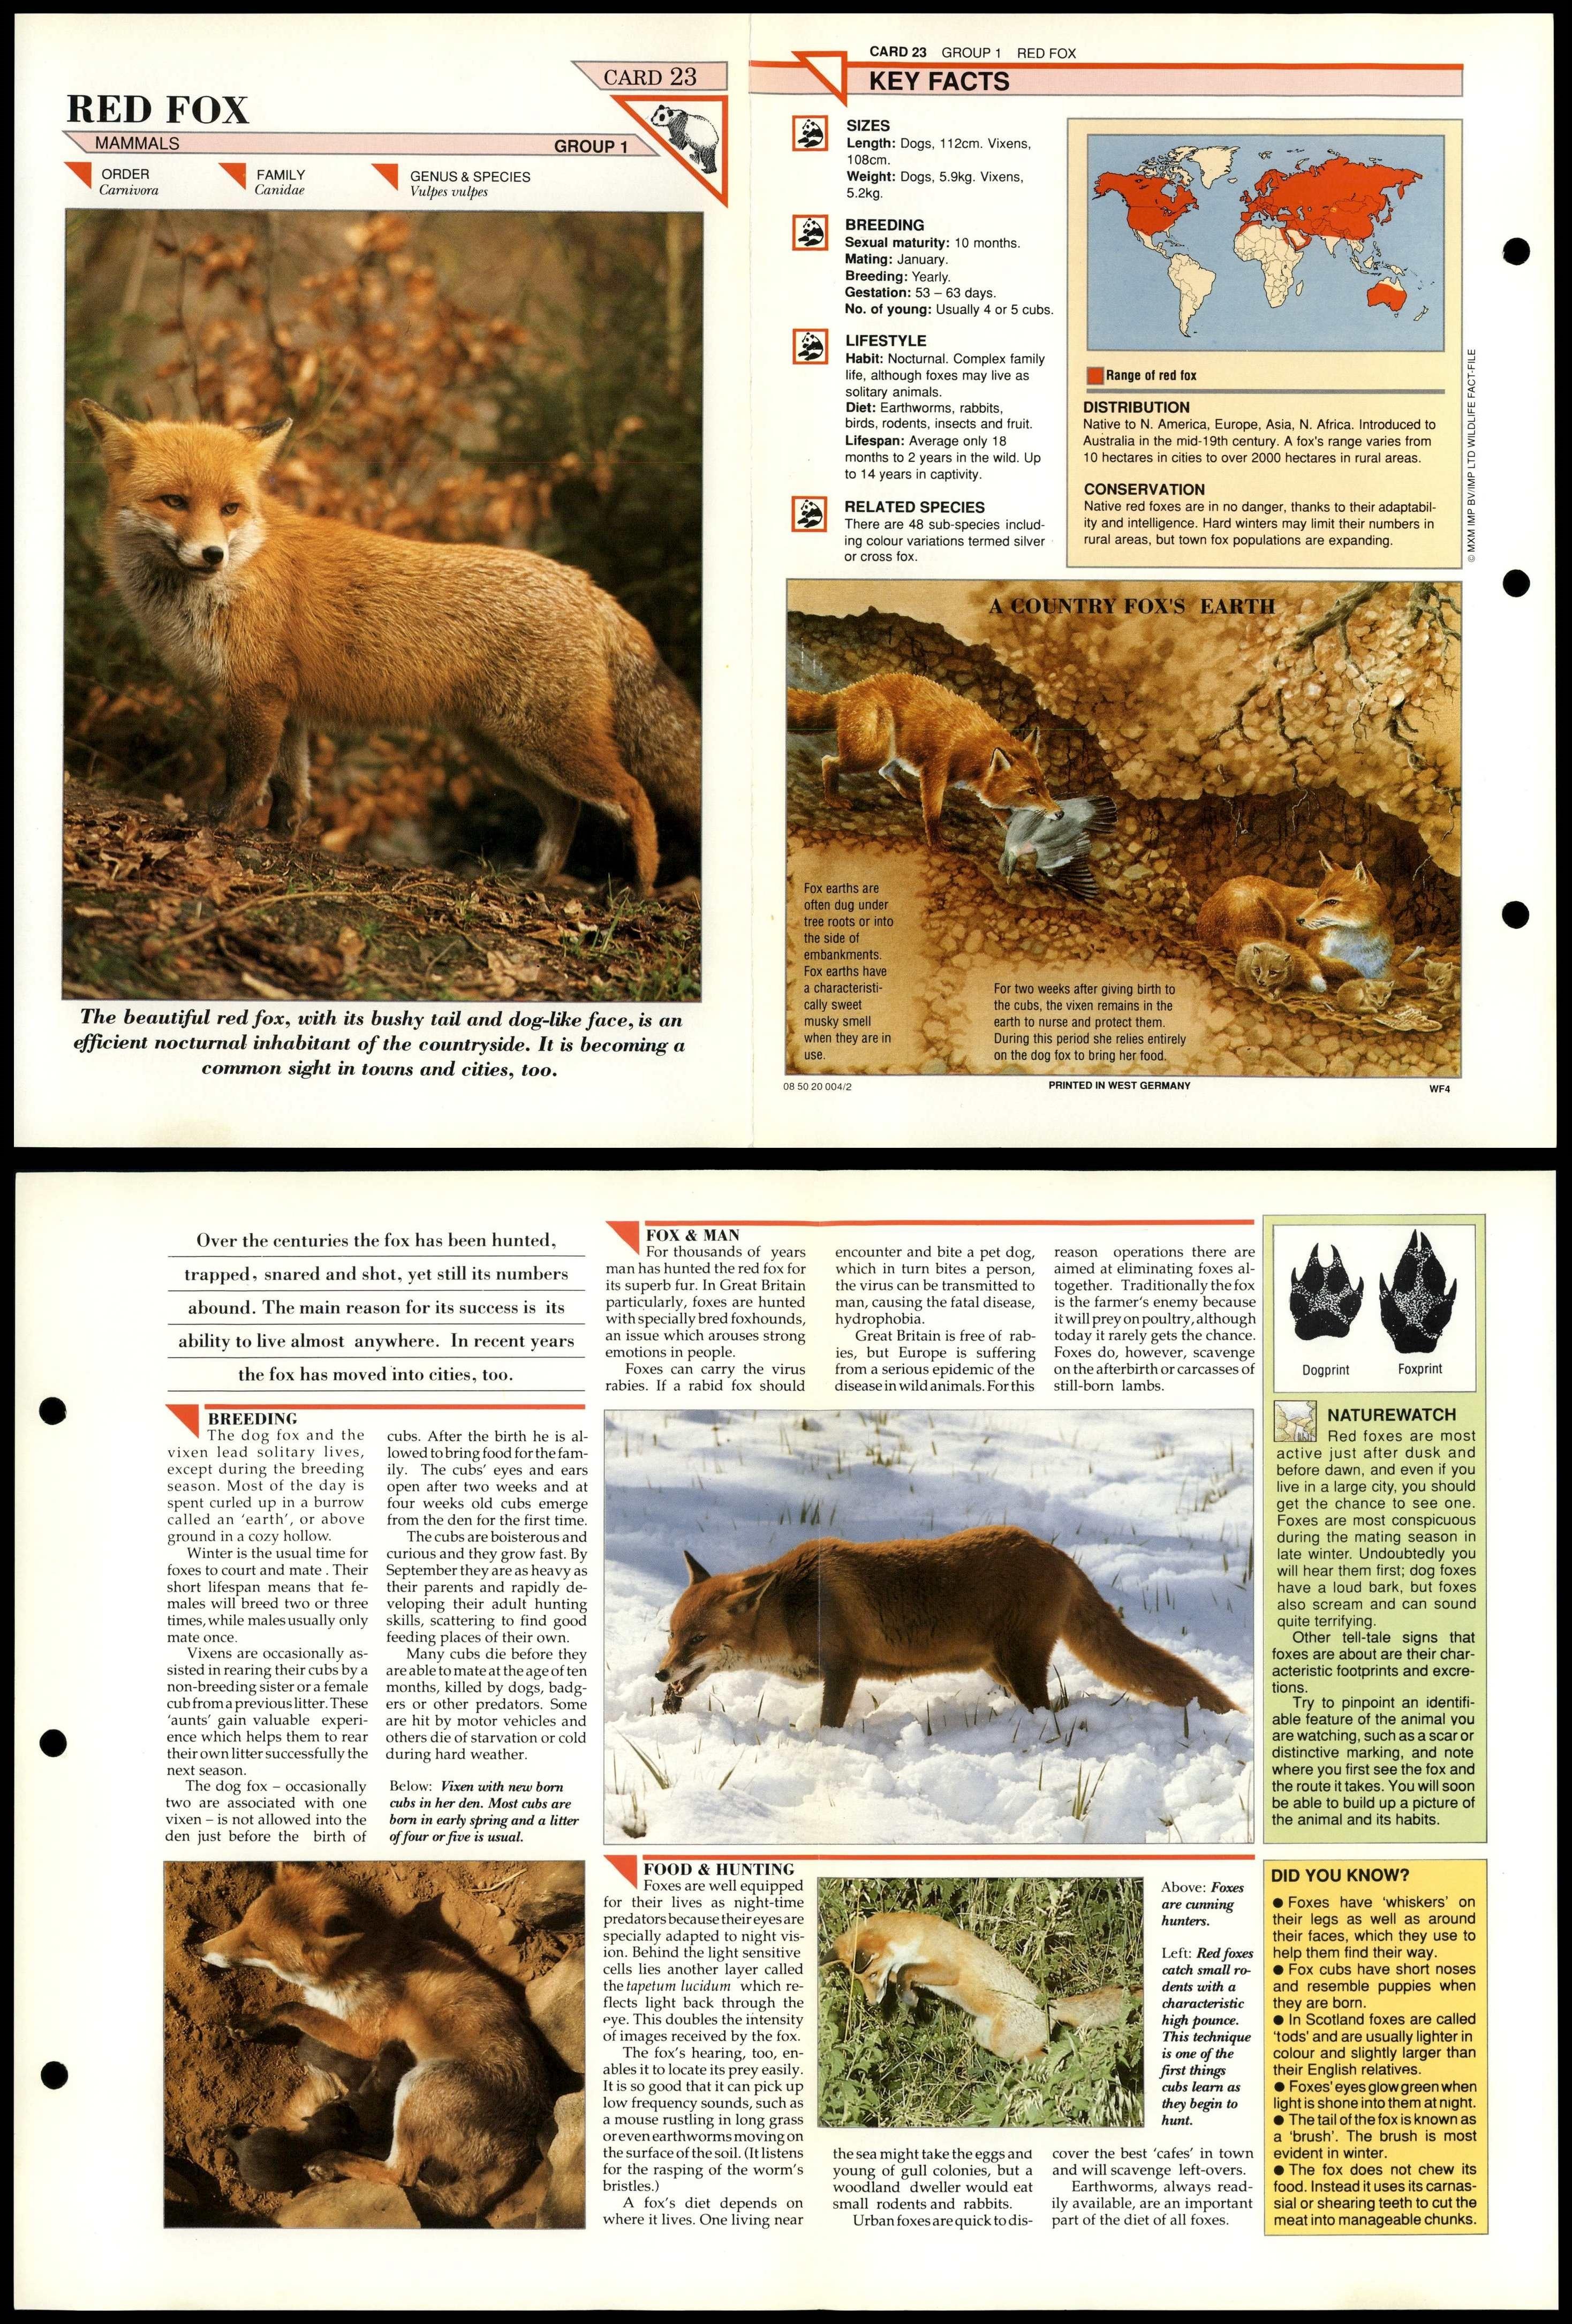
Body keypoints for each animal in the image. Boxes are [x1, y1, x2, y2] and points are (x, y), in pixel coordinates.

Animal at [77, 400, 701, 893]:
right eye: (175, 501)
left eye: (230, 508)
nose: (213, 554)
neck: (239, 570)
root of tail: (587, 585)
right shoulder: (288, 705)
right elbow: (290, 790)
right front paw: (282, 840)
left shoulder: (257, 692)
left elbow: (247, 776)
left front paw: (220, 826)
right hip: (501, 746)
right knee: (565, 809)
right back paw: (538, 879)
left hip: (548, 741)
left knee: (634, 796)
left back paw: (639, 888)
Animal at [196, 1864, 553, 2218]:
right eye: (243, 1922)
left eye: (258, 1947)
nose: (200, 1950)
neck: (359, 1971)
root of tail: (522, 2143)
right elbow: (288, 2008)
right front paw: (252, 2024)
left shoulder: (364, 2040)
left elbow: (292, 2008)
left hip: (418, 2086)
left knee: (400, 2175)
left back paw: (332, 2161)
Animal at [655, 1525, 1238, 1730]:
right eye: (671, 1634)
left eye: (697, 1638)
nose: (660, 1675)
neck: (795, 1606)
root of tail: (1055, 1551)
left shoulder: (844, 1668)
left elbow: (828, 1724)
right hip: (1000, 1668)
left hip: (1018, 1665)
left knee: (1049, 1709)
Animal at [787, 672, 1057, 846]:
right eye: (1031, 791)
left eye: (1045, 785)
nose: (1060, 814)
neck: (973, 746)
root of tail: (852, 689)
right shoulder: (935, 772)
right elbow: (933, 814)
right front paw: (936, 843)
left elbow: (1001, 812)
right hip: (871, 753)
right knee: (828, 761)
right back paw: (833, 798)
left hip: (891, 754)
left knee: (886, 772)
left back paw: (909, 794)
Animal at [1197, 855, 1395, 993]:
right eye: (1318, 896)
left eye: (1332, 902)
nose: (1300, 920)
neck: (1355, 944)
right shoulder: (1314, 951)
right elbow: (1343, 968)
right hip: (1273, 922)